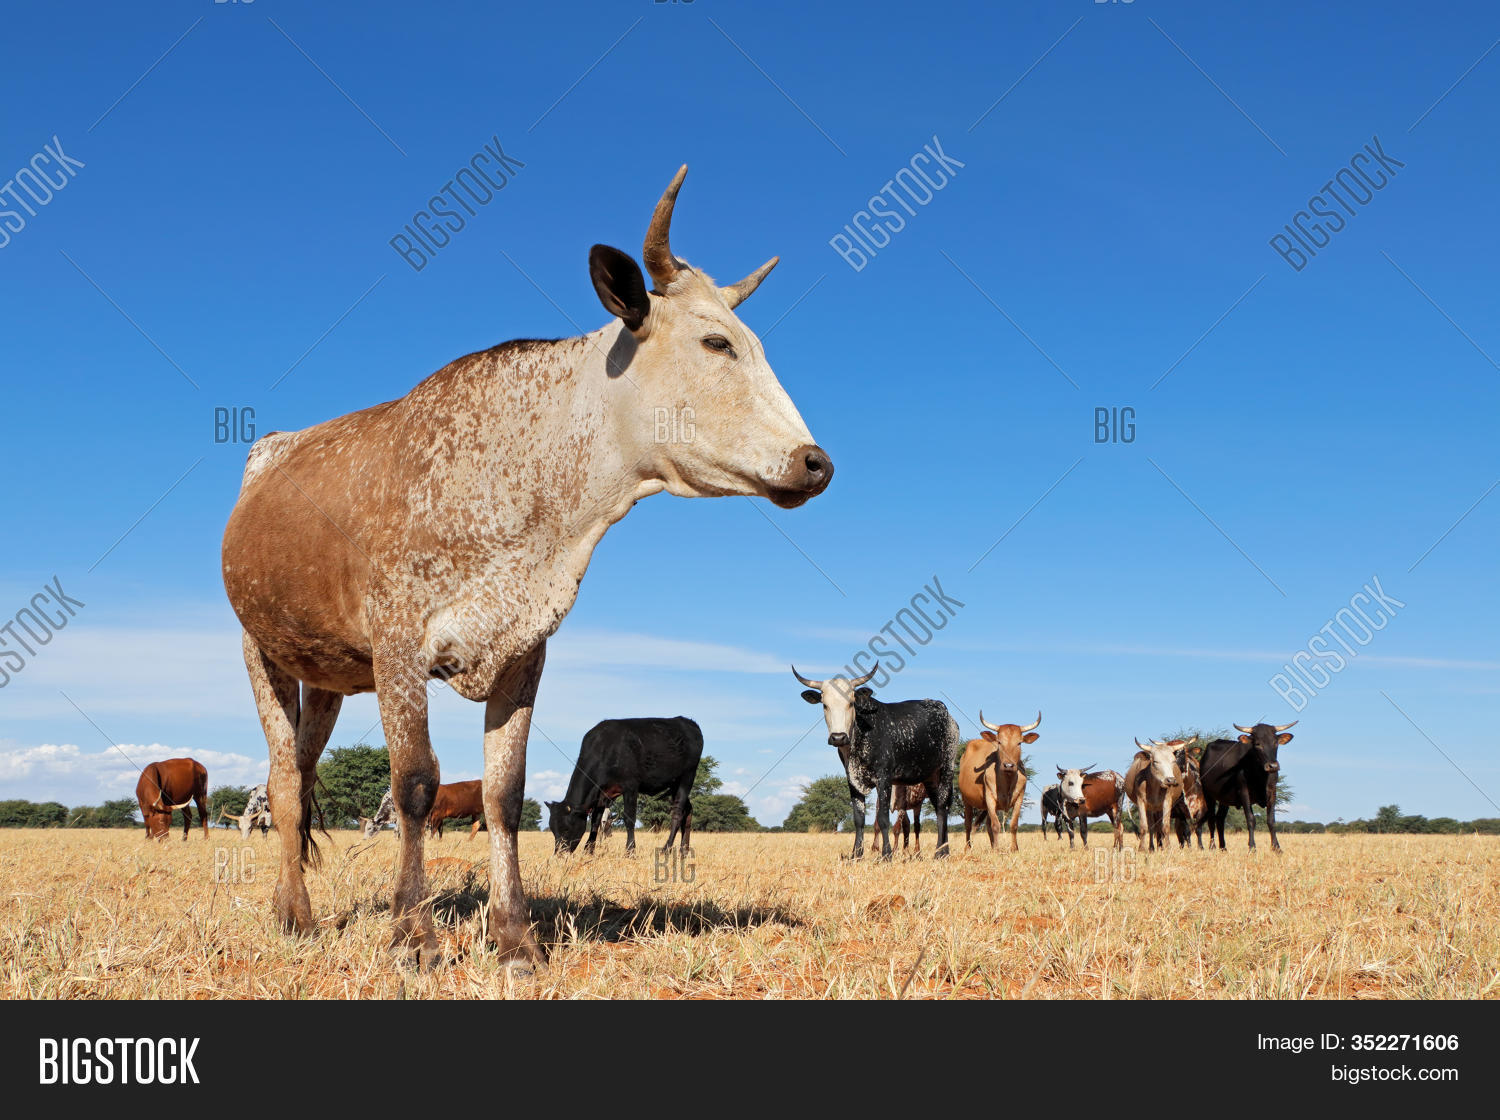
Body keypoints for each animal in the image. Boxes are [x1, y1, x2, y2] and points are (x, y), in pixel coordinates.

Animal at [547, 717, 703, 856]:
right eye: (553, 830)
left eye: (566, 829)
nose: (558, 854)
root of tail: (688, 722)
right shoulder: (602, 794)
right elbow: (595, 821)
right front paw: (589, 851)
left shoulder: (630, 787)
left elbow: (629, 818)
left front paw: (630, 851)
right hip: (674, 783)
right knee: (688, 810)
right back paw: (684, 850)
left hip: (687, 777)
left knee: (677, 813)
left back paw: (666, 849)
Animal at [793, 666, 957, 860]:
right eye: (825, 705)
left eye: (851, 703)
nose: (838, 737)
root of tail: (946, 714)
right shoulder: (852, 780)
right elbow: (859, 819)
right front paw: (856, 854)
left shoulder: (884, 779)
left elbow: (883, 819)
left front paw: (886, 855)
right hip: (930, 776)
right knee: (941, 809)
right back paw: (943, 850)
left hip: (947, 768)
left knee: (942, 806)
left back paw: (940, 852)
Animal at [958, 712, 1038, 852]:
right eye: (999, 742)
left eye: (1019, 743)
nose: (1009, 765)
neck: (1007, 782)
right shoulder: (989, 797)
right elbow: (996, 825)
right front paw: (997, 850)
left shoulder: (1019, 798)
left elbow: (1013, 824)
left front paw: (1014, 848)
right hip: (966, 799)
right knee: (968, 824)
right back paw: (968, 848)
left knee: (987, 824)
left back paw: (993, 846)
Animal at [1200, 721, 1295, 852]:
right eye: (1258, 744)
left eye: (1275, 742)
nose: (1273, 766)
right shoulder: (1244, 793)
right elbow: (1250, 819)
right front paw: (1252, 848)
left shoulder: (1272, 792)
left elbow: (1271, 820)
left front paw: (1277, 848)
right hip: (1208, 794)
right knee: (1211, 819)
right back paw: (1212, 847)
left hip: (1224, 799)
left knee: (1220, 819)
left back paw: (1223, 848)